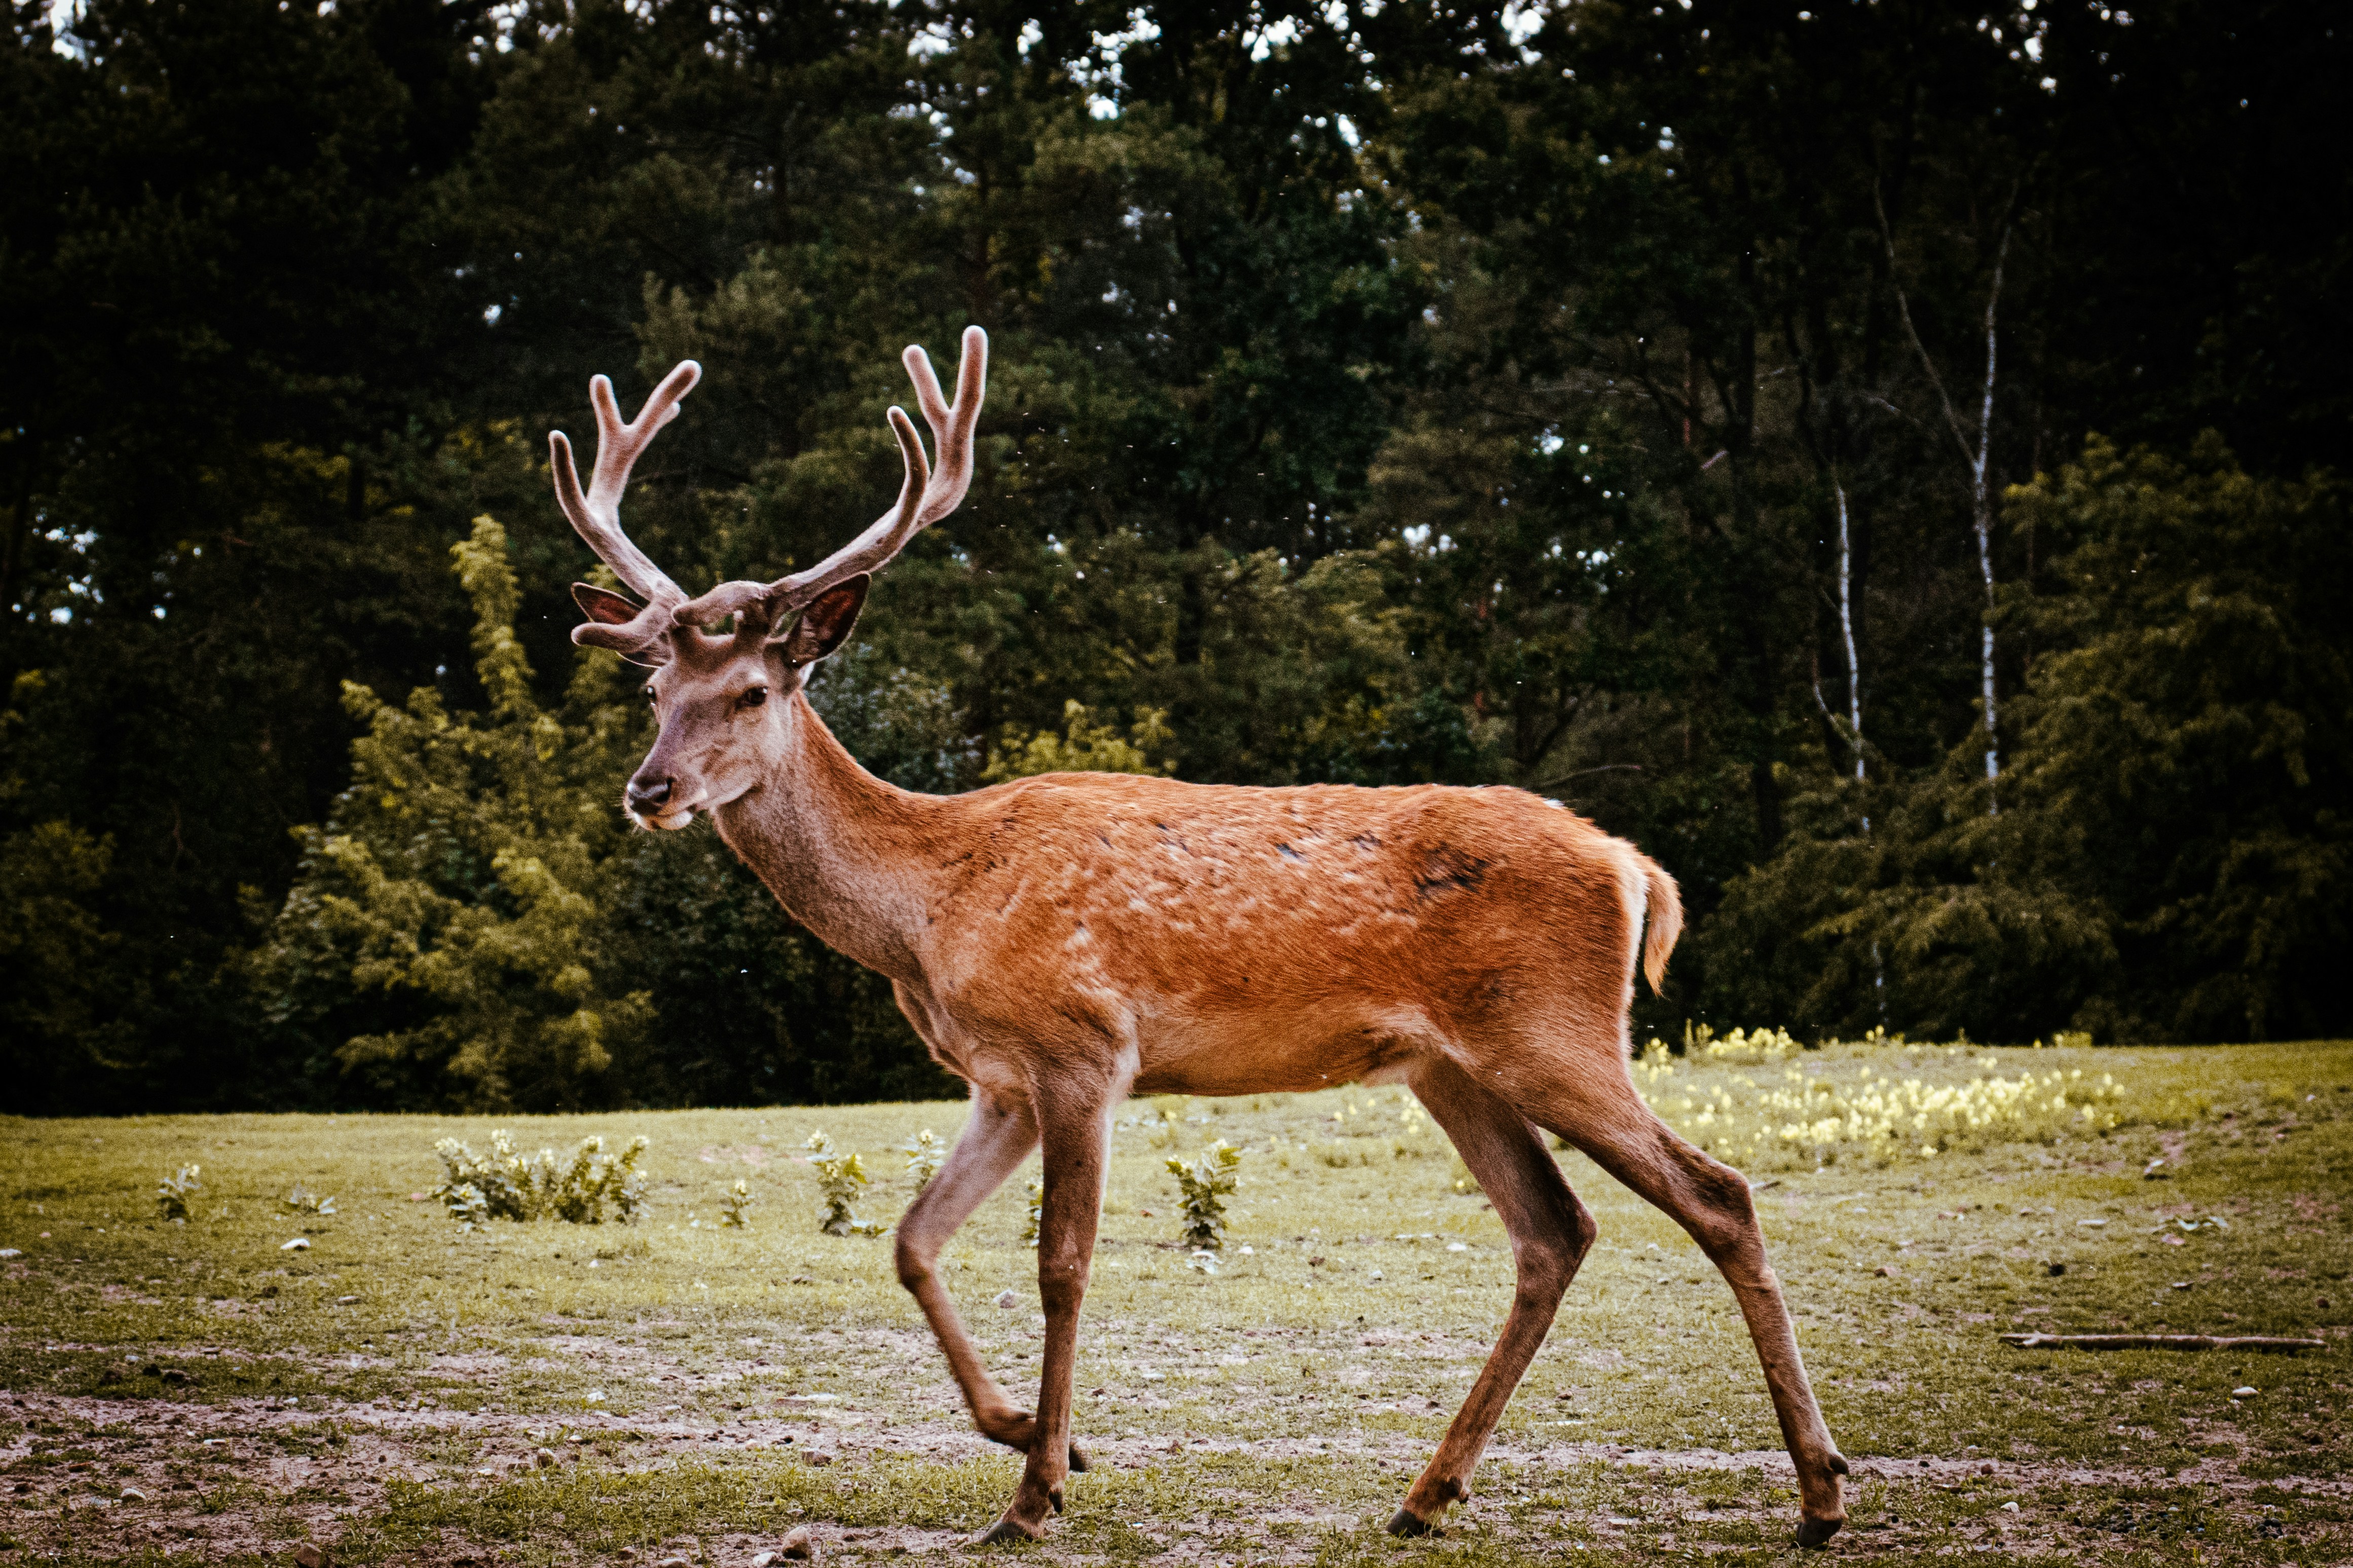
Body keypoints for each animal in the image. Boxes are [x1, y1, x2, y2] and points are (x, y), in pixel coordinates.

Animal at [547, 327, 1852, 1548]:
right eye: (653, 690)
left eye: (754, 690)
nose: (650, 789)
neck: (929, 904)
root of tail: (1633, 868)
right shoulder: (998, 1079)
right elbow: (913, 1241)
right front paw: (1029, 1435)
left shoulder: (1081, 1045)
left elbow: (1059, 1263)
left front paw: (1033, 1491)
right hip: (1450, 1063)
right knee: (1552, 1230)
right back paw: (1426, 1493)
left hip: (1555, 1030)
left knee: (1717, 1193)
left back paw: (1819, 1492)